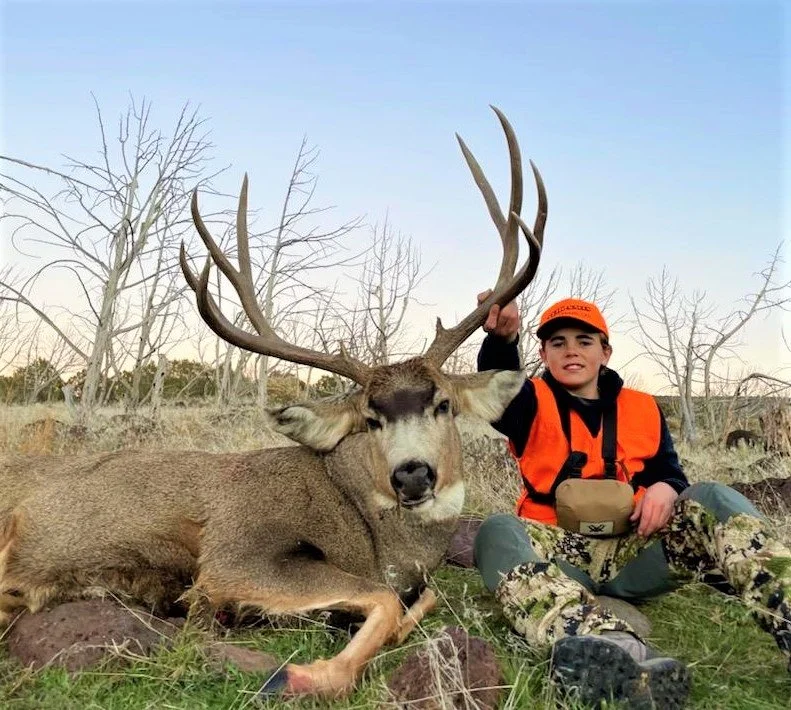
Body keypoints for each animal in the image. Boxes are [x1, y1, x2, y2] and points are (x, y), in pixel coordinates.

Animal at [0, 107, 547, 698]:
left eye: (443, 403)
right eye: (370, 418)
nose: (413, 474)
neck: (374, 535)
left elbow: (420, 600)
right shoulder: (237, 552)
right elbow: (381, 603)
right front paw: (301, 672)